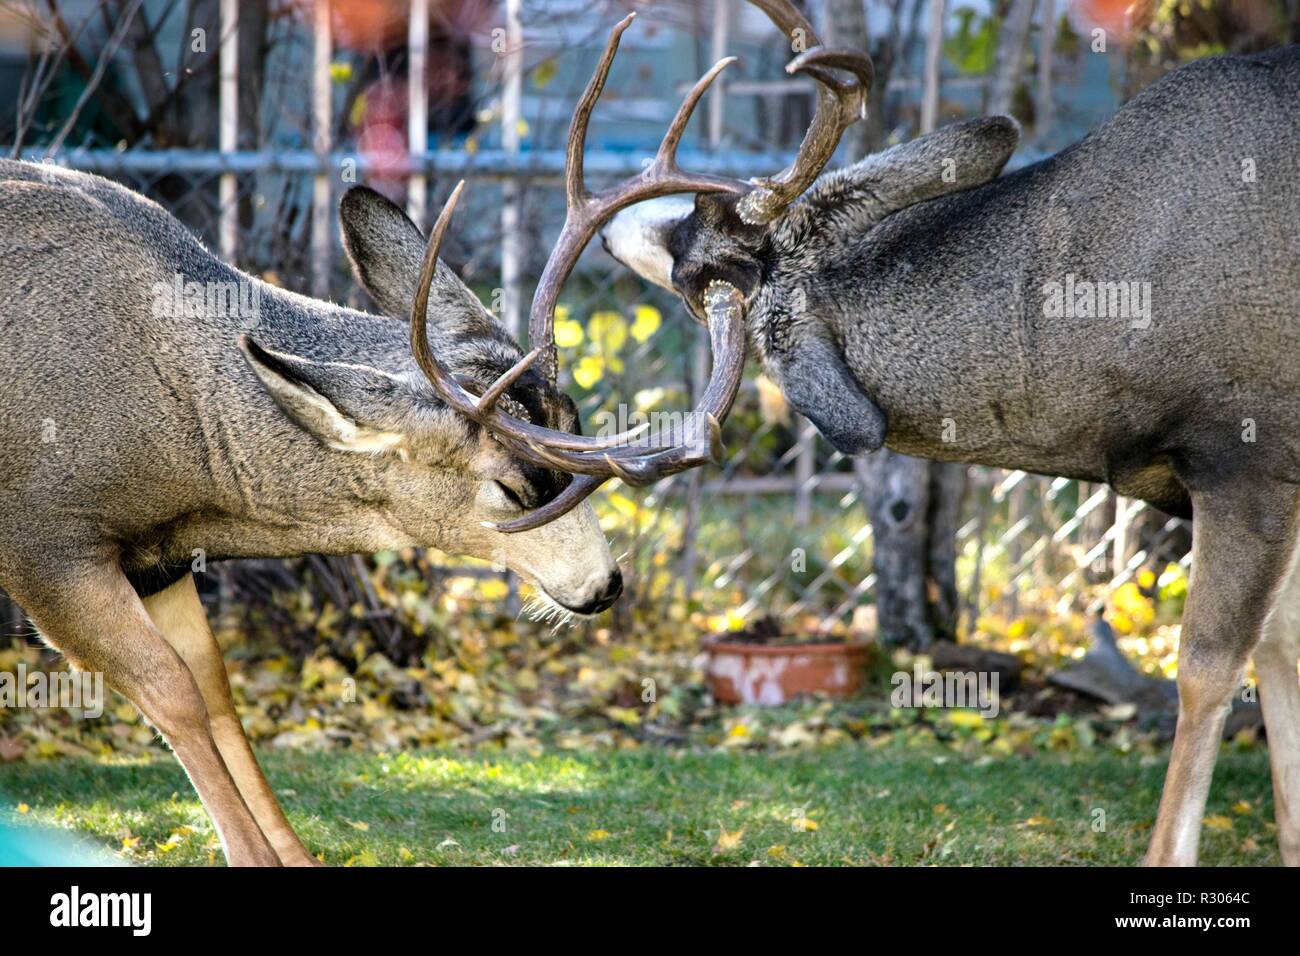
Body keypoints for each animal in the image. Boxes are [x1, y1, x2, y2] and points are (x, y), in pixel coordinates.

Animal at [0, 11, 752, 865]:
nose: (605, 585)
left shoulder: (156, 558)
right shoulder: (46, 540)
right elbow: (173, 695)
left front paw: (290, 856)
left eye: (576, 426)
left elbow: (215, 691)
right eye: (509, 486)